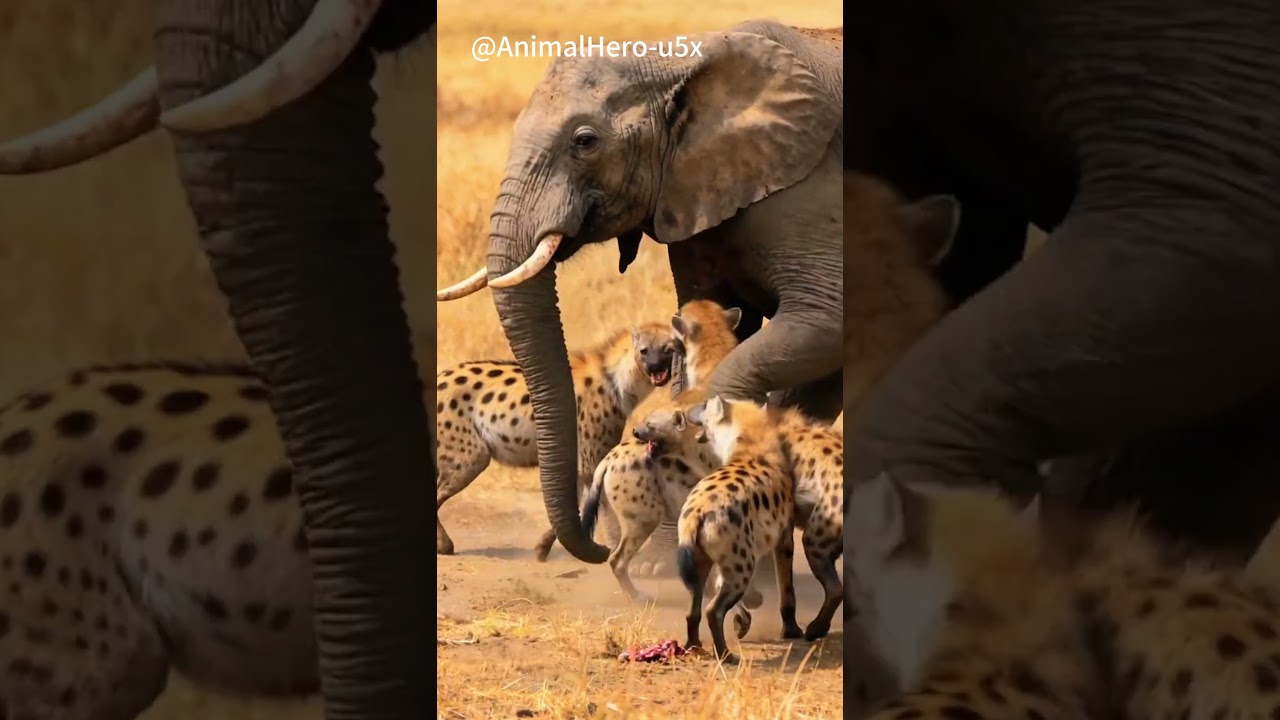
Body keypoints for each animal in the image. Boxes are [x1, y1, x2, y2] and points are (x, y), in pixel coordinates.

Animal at [436, 19, 844, 565]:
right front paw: (664, 556)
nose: (587, 547)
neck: (678, 57)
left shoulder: (811, 190)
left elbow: (821, 324)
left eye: (585, 141)